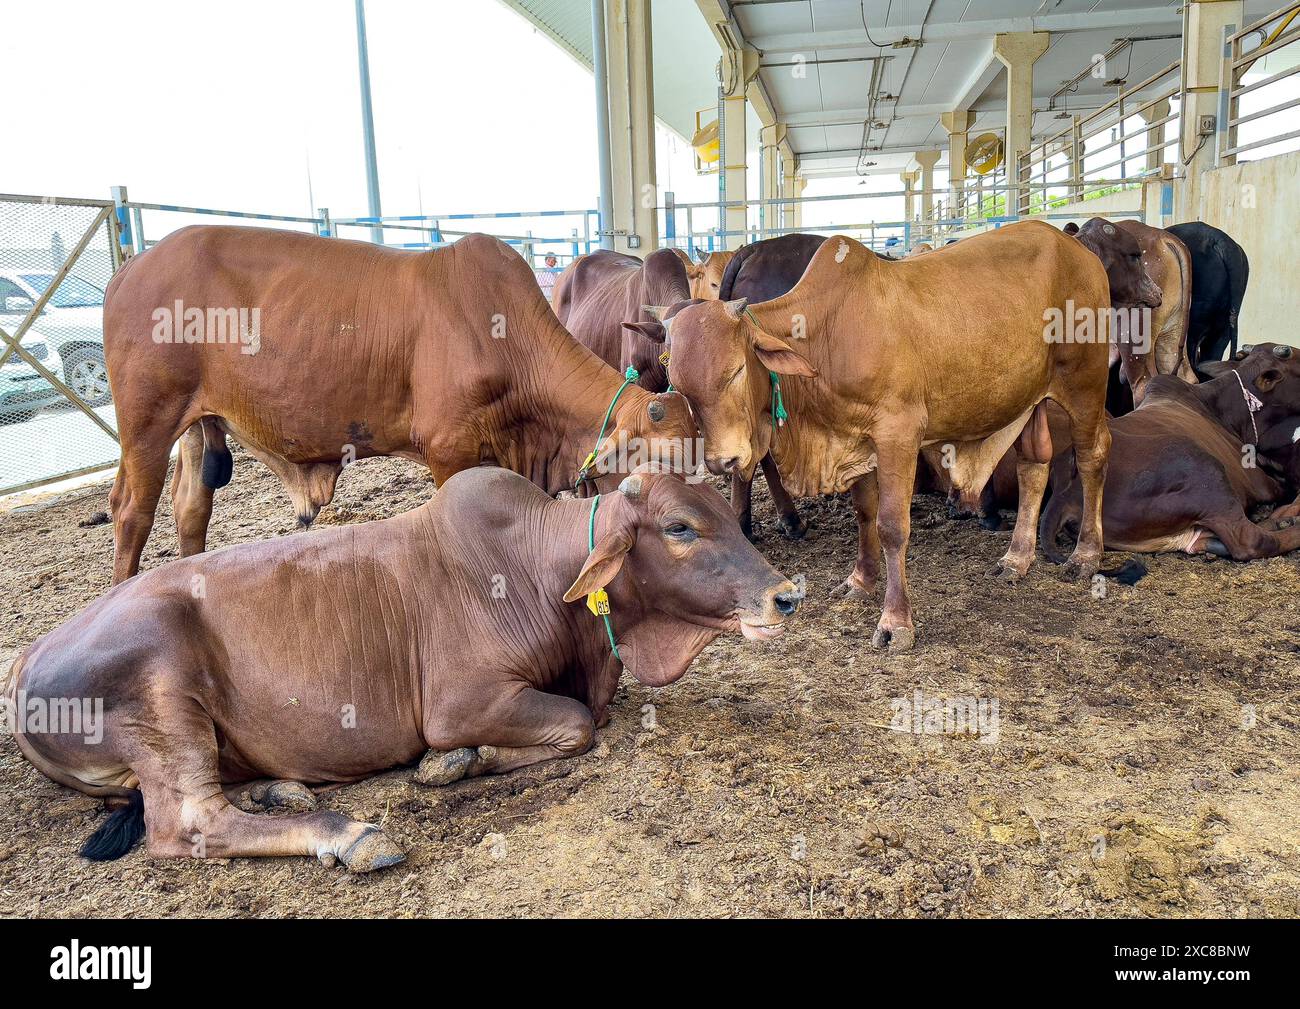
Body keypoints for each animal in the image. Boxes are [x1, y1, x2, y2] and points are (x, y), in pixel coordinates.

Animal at [7, 465, 802, 871]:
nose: (786, 595)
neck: (536, 568)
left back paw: (279, 789)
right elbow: (577, 723)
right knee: (189, 822)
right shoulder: (465, 701)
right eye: (679, 527)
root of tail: (24, 666)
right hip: (164, 696)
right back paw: (348, 834)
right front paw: (456, 762)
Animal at [665, 221, 1119, 651]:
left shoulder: (898, 435)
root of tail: (1077, 249)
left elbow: (891, 526)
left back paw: (1085, 556)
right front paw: (860, 581)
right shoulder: (857, 439)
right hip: (1030, 398)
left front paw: (895, 623)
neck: (826, 336)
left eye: (737, 370)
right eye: (681, 386)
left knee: (1093, 455)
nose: (723, 461)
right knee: (1033, 465)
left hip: (1085, 383)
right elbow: (864, 513)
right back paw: (1017, 559)